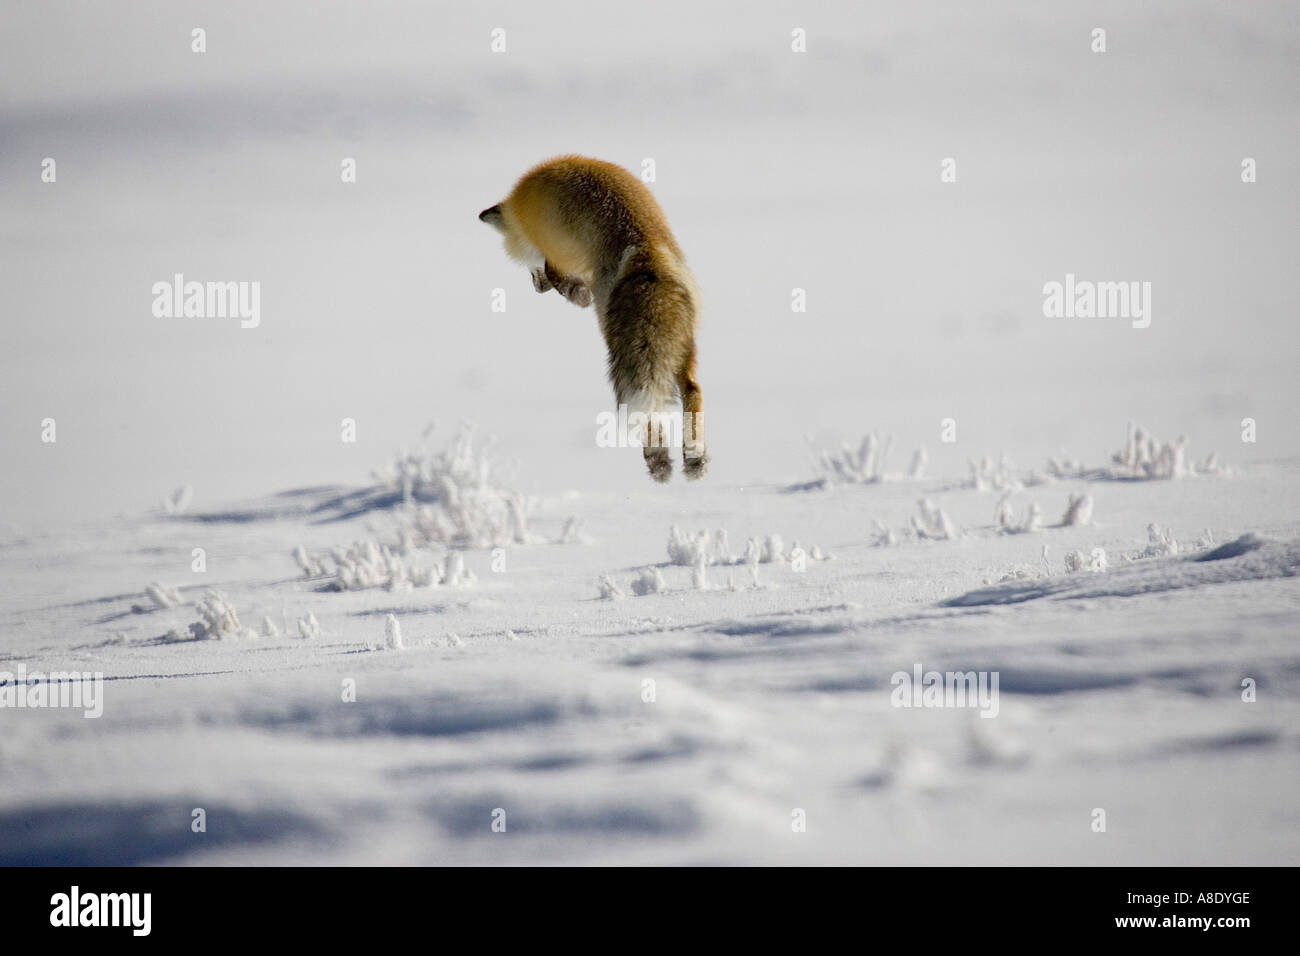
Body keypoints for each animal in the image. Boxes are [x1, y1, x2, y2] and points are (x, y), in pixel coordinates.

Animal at [479, 155, 707, 482]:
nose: (535, 288)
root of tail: (646, 250)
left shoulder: (554, 250)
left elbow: (555, 273)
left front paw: (575, 293)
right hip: (680, 345)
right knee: (691, 390)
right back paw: (694, 458)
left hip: (621, 341)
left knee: (650, 406)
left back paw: (656, 459)